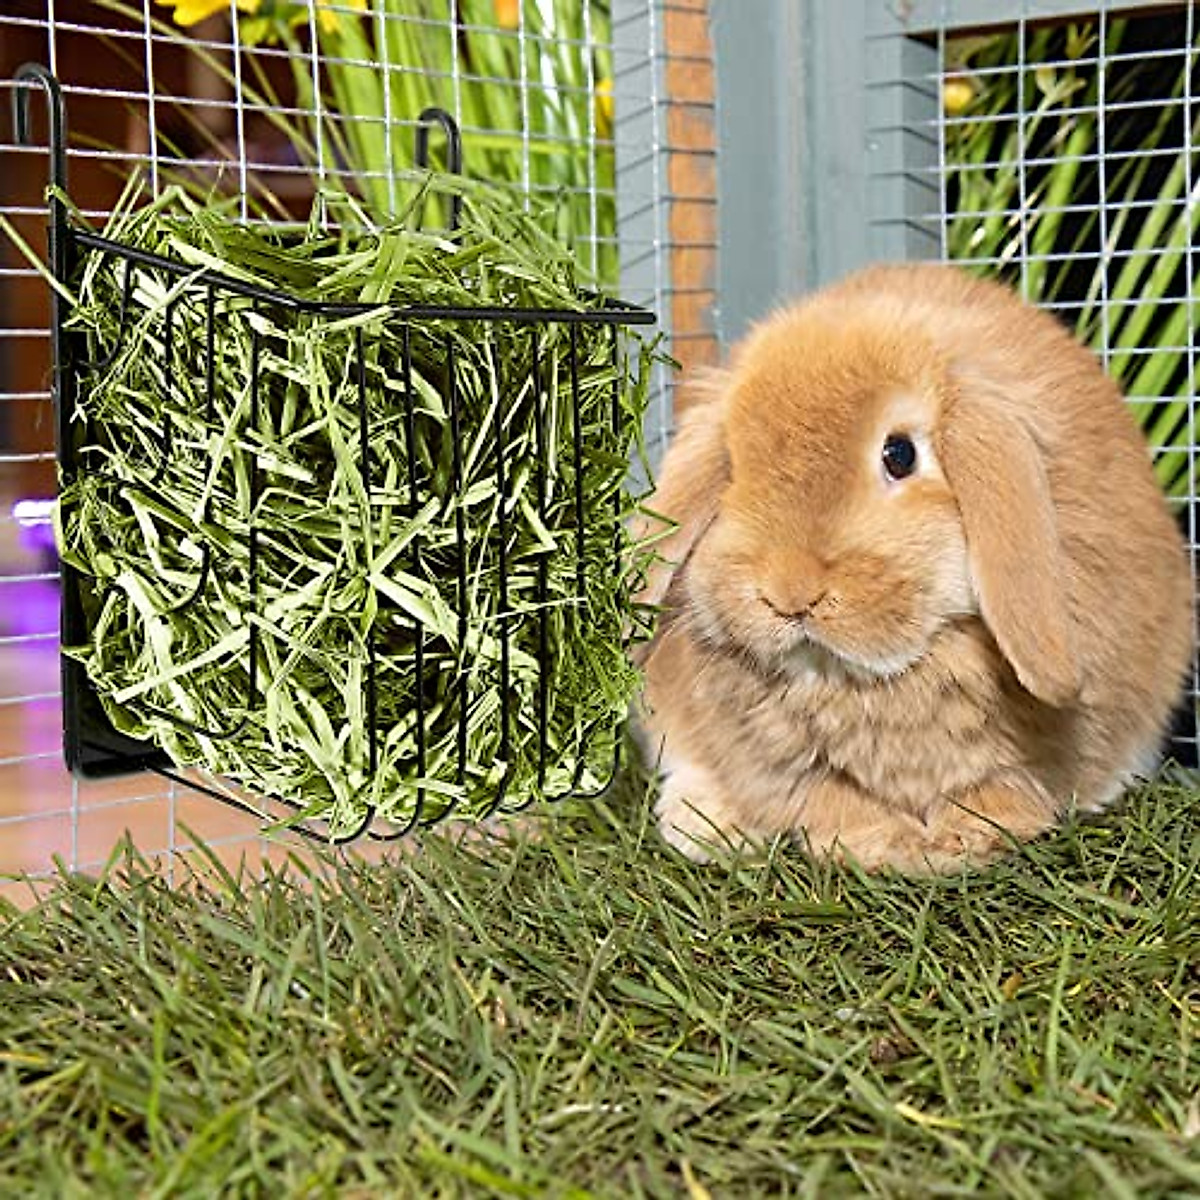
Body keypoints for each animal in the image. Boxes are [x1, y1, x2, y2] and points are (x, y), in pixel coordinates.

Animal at [632, 262, 1195, 874]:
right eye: (731, 467)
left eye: (899, 454)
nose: (789, 592)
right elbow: (831, 799)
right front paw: (880, 844)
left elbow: (1000, 790)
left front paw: (959, 843)